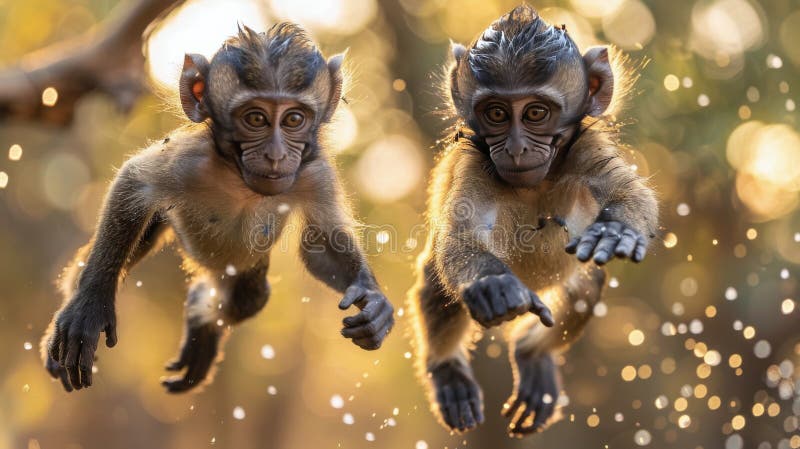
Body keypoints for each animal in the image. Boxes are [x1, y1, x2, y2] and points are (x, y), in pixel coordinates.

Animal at [40, 23, 395, 393]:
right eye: (256, 118)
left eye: (294, 118)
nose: (276, 155)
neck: (239, 179)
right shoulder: (188, 160)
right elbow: (133, 184)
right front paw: (89, 304)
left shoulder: (315, 172)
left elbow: (322, 245)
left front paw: (372, 302)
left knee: (250, 297)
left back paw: (202, 323)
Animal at [407, 5, 658, 437]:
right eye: (496, 113)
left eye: (536, 113)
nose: (516, 147)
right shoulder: (474, 164)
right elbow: (461, 238)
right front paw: (493, 285)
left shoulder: (587, 148)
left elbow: (628, 195)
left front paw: (618, 228)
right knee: (437, 281)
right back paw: (447, 369)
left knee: (586, 285)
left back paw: (531, 355)